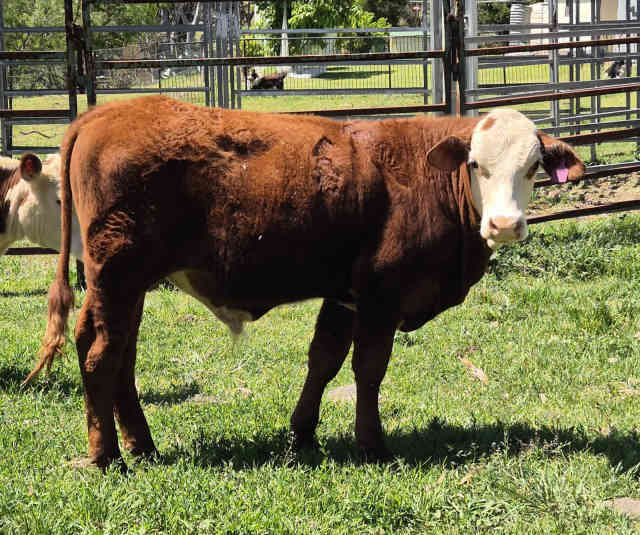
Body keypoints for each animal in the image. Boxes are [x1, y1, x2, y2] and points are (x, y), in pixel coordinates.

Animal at [26, 96, 584, 469]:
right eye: (476, 164)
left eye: (533, 167)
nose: (505, 225)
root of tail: (102, 113)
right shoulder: (381, 294)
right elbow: (368, 370)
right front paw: (372, 444)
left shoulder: (344, 296)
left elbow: (324, 360)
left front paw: (303, 435)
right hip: (118, 273)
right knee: (102, 354)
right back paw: (107, 458)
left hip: (125, 282)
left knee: (117, 353)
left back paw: (141, 444)